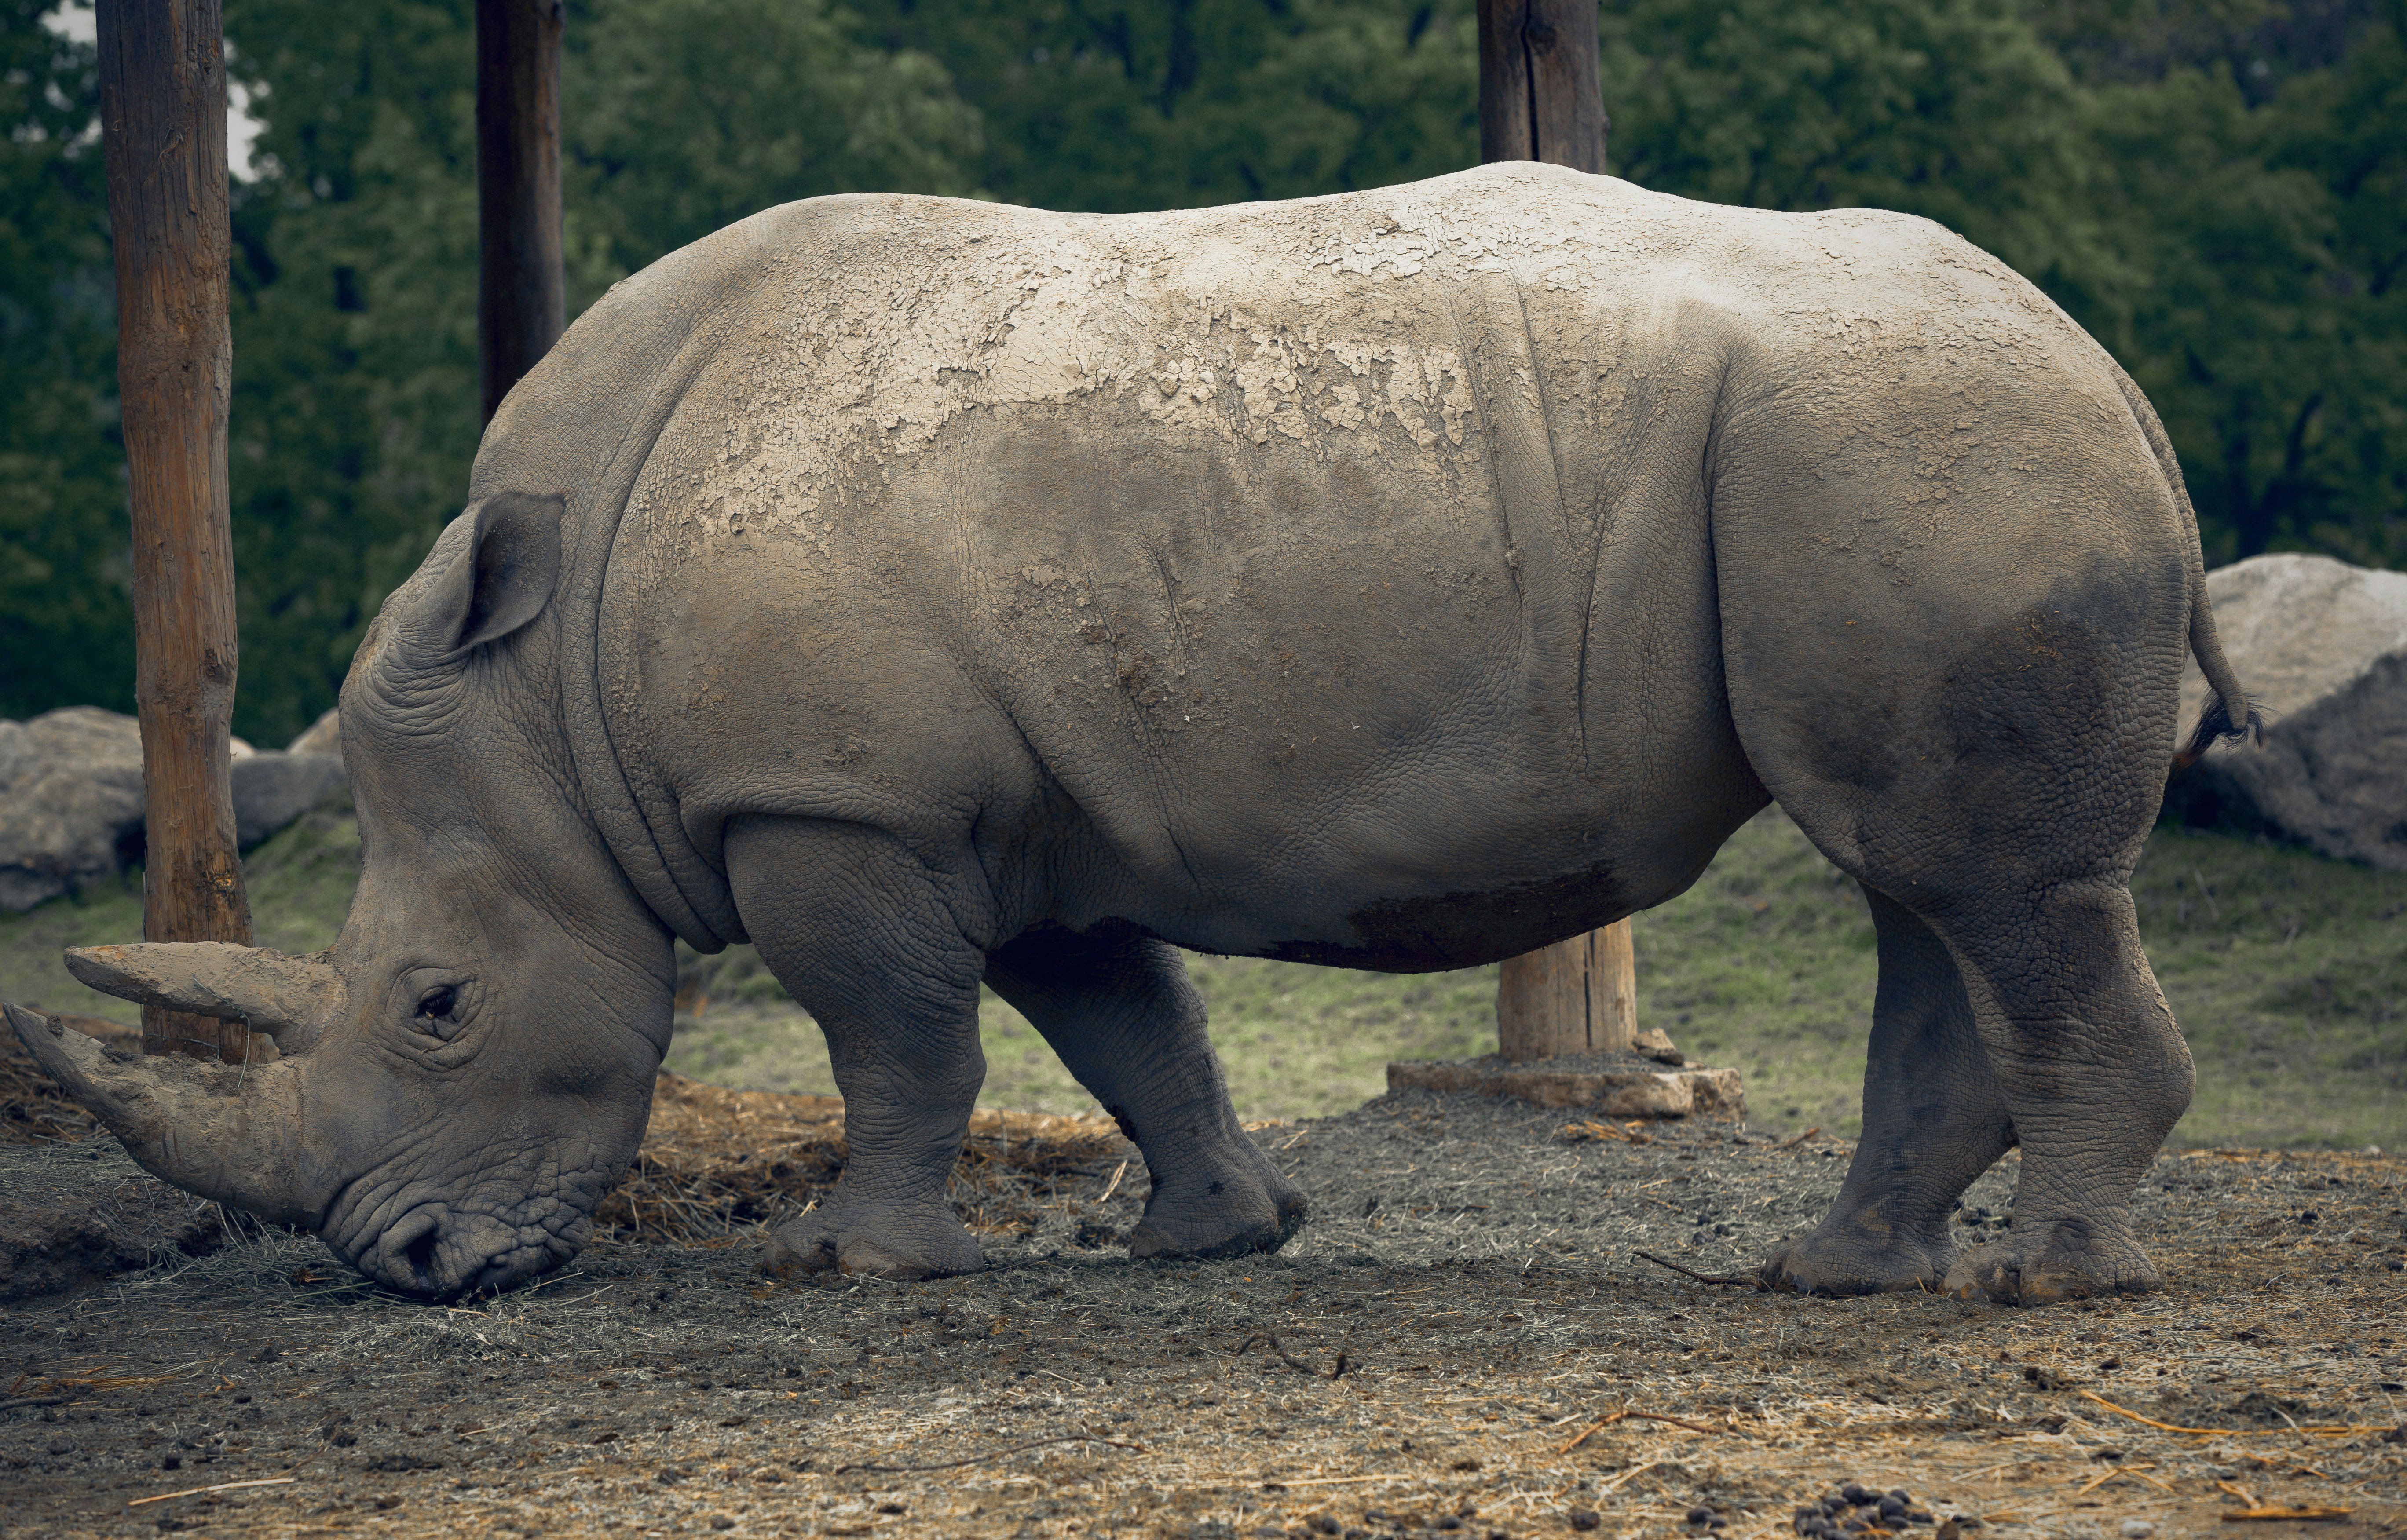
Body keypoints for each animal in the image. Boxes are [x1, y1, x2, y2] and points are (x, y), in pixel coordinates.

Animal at [9, 162, 2256, 1304]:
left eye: (441, 1009)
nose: (403, 1265)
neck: (542, 697)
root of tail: (2109, 371)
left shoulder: (830, 801)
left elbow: (897, 1037)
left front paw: (866, 1262)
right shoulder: (1002, 802)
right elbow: (1117, 1017)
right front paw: (1208, 1238)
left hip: (1925, 453)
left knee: (1980, 885)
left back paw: (2049, 1286)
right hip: (1902, 460)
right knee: (1926, 885)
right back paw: (1834, 1273)